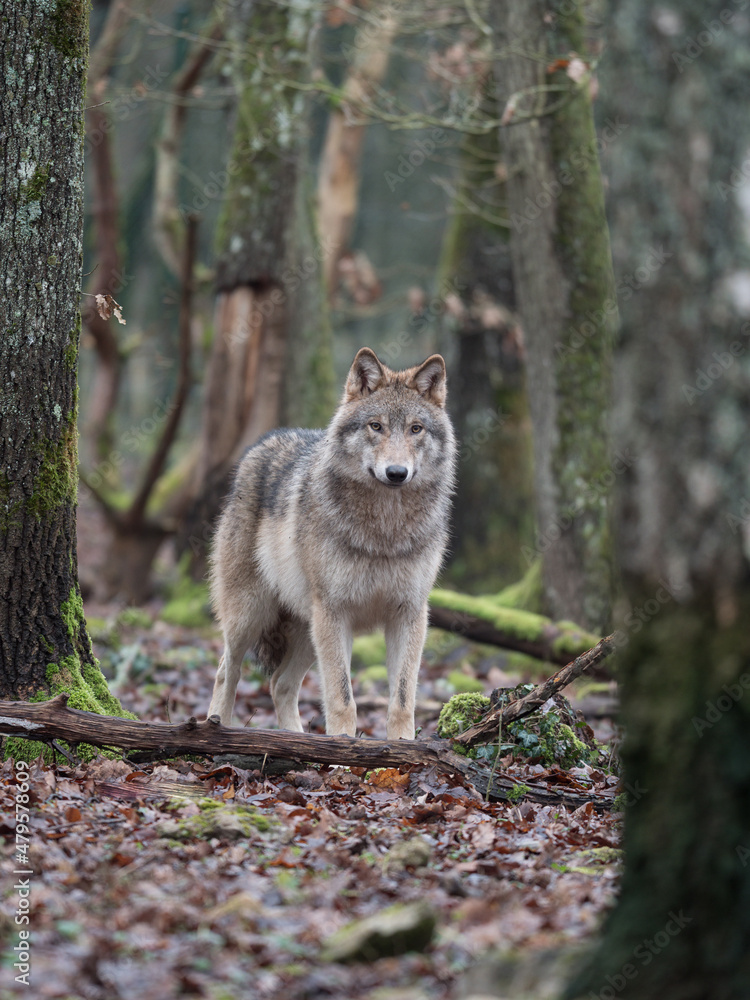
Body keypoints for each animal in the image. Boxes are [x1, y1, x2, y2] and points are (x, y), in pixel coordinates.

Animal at [207, 347, 456, 740]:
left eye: (415, 429)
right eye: (376, 426)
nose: (396, 473)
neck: (384, 531)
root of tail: (263, 442)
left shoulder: (410, 614)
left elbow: (402, 699)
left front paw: (402, 747)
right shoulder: (335, 612)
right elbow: (342, 697)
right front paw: (342, 749)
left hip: (307, 629)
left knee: (280, 683)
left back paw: (296, 741)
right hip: (252, 614)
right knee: (225, 670)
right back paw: (217, 729)